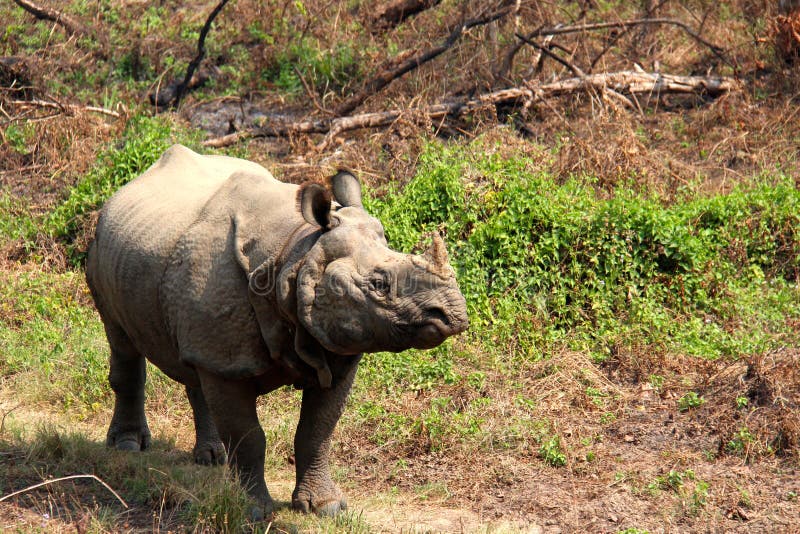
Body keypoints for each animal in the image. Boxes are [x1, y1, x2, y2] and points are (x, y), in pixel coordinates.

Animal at [85, 144, 469, 518]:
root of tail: (129, 186)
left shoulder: (336, 347)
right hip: (102, 247)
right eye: (378, 284)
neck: (295, 251)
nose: (453, 314)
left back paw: (212, 460)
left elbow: (317, 430)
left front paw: (326, 508)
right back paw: (128, 446)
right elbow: (248, 437)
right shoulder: (235, 358)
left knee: (195, 361)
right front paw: (255, 511)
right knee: (122, 340)